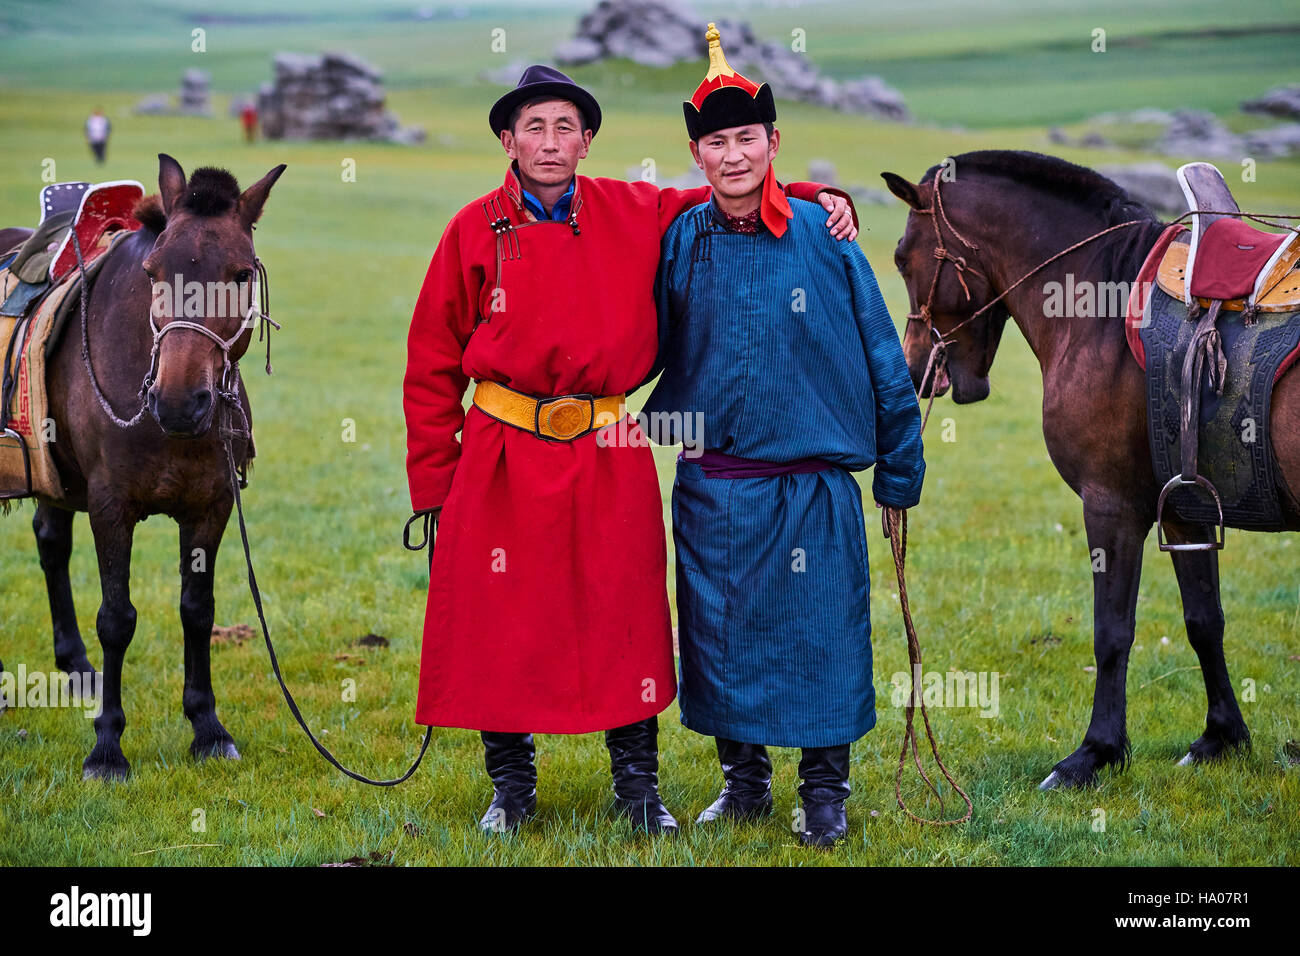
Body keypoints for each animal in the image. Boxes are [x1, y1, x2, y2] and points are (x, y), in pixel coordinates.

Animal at [0, 155, 284, 780]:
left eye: (240, 275)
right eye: (154, 272)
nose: (179, 402)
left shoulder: (211, 505)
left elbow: (197, 610)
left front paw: (207, 728)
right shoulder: (110, 504)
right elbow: (116, 617)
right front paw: (107, 745)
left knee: (51, 541)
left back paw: (77, 666)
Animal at [878, 149, 1294, 790]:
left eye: (902, 257)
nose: (917, 366)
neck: (1105, 306)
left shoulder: (1110, 506)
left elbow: (1112, 633)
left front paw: (1094, 752)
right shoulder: (1186, 507)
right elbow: (1204, 621)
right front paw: (1221, 737)